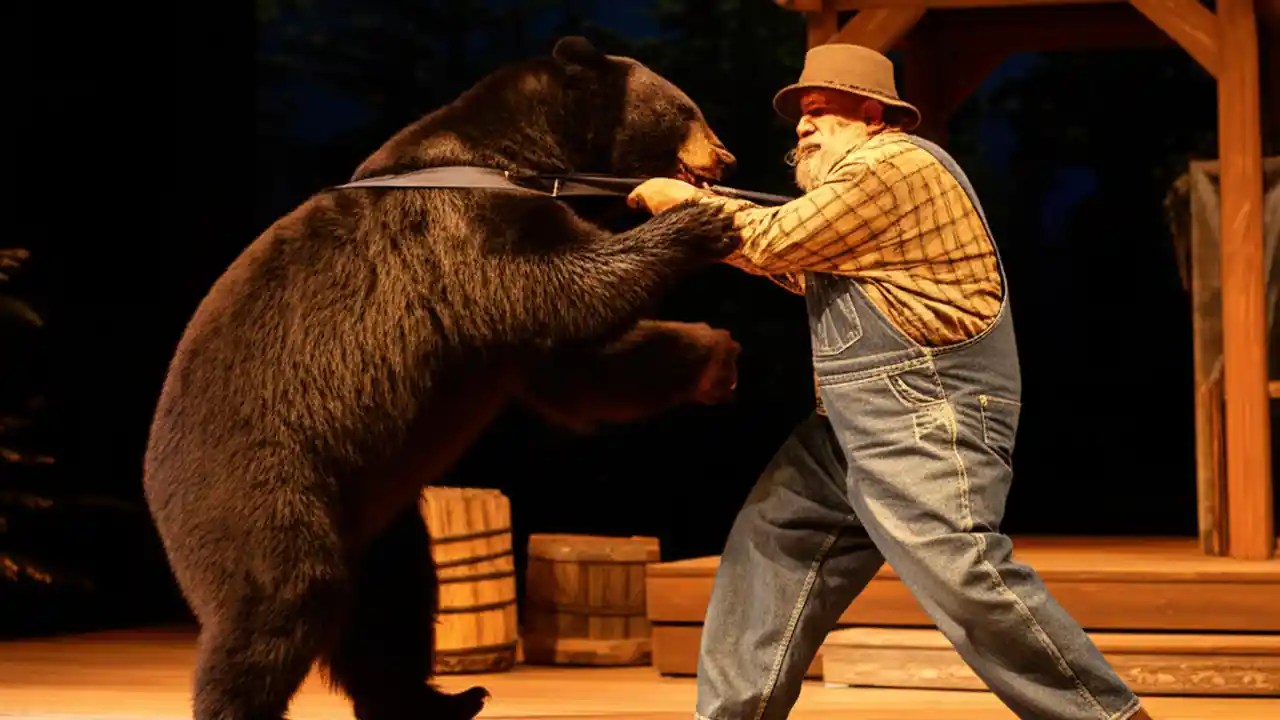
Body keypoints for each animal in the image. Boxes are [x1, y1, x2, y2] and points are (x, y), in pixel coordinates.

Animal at [142, 35, 741, 720]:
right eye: (686, 110)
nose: (726, 153)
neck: (525, 153)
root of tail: (151, 480)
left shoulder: (501, 332)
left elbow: (575, 370)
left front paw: (715, 355)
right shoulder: (456, 221)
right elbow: (547, 280)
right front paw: (698, 226)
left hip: (374, 517)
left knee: (392, 602)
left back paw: (443, 698)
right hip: (261, 480)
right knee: (282, 597)